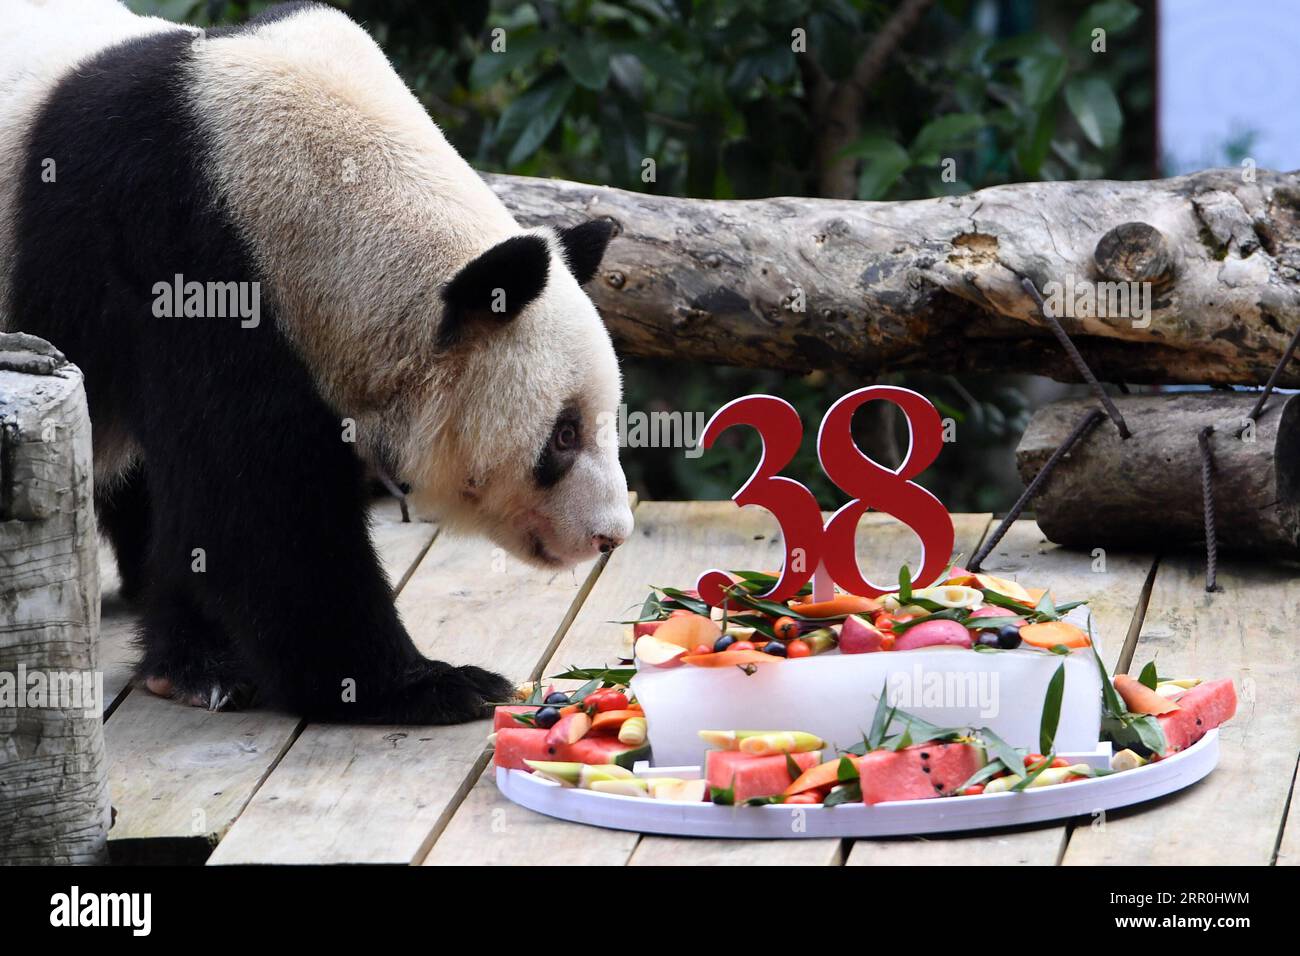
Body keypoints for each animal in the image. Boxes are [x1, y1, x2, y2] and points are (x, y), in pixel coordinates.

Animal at [0, 0, 635, 723]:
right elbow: (259, 509)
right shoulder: (184, 264)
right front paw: (424, 684)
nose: (610, 536)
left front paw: (192, 660)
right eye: (563, 435)